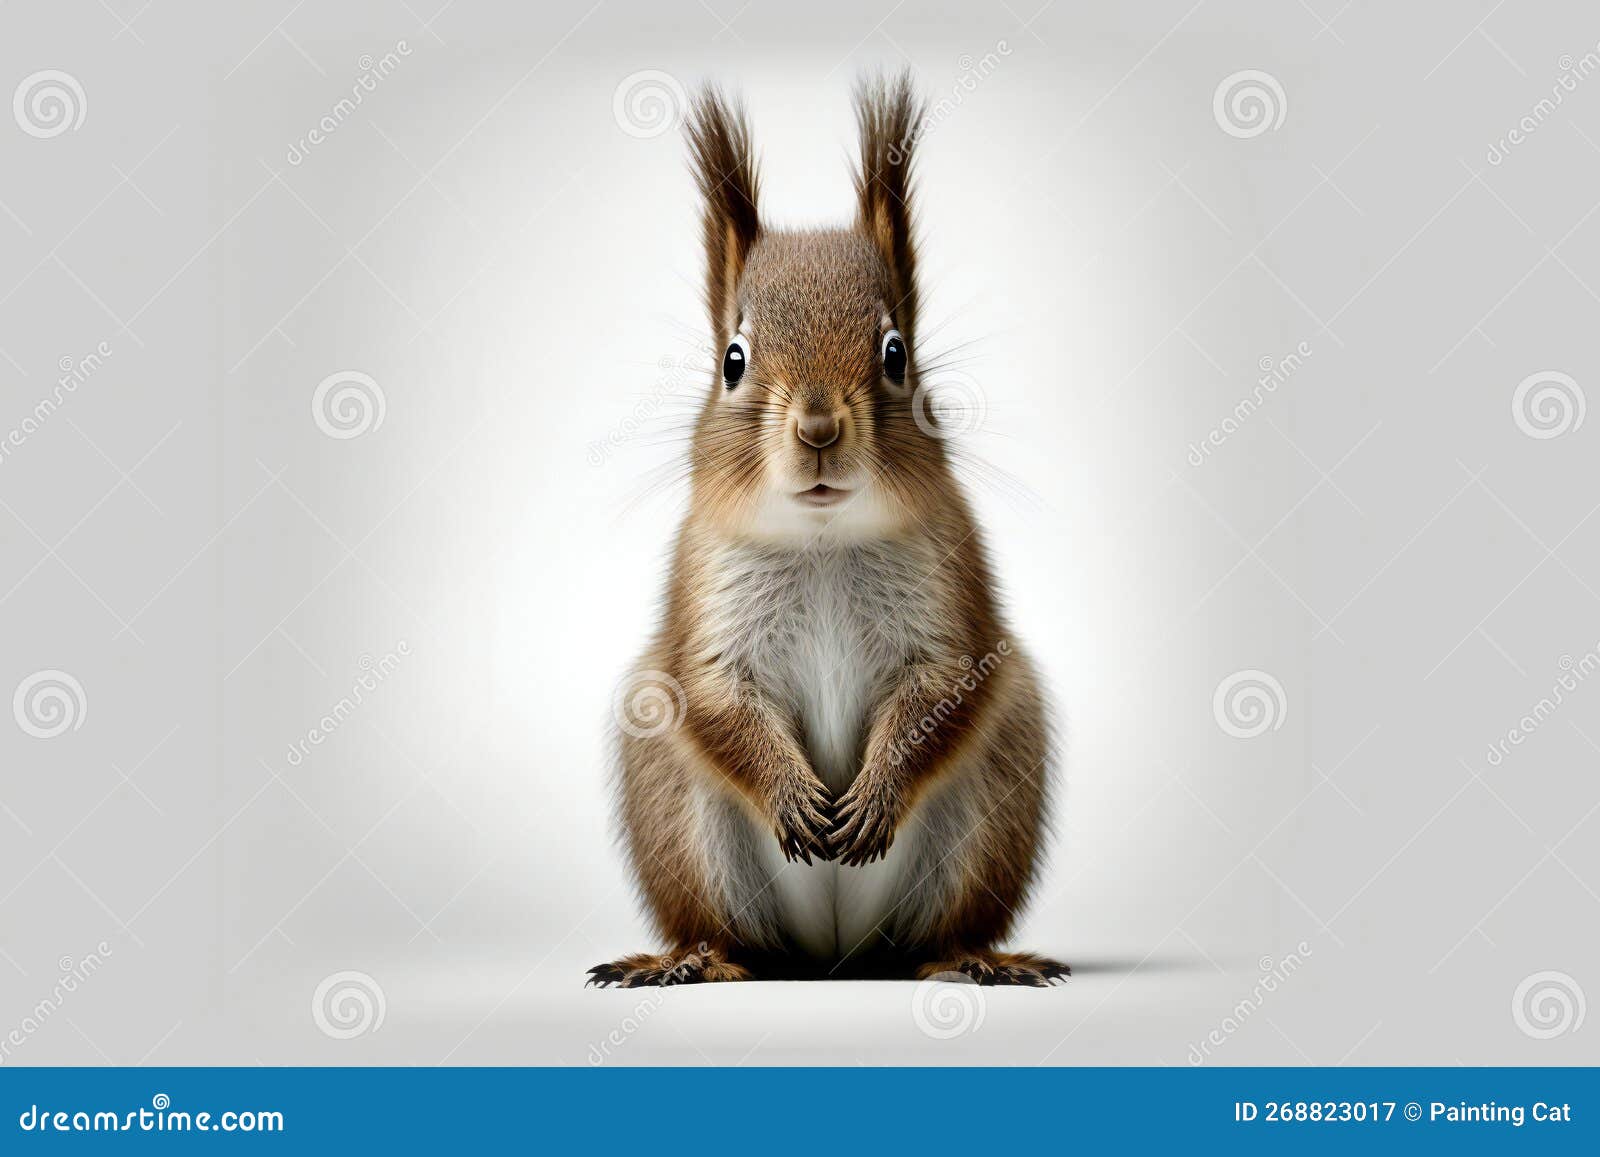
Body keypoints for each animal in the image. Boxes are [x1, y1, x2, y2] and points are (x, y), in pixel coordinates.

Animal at [590, 75, 1064, 988]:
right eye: (733, 361)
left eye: (896, 353)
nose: (816, 428)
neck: (823, 544)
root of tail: (835, 957)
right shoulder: (707, 603)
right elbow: (717, 703)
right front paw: (788, 790)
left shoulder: (950, 603)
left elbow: (940, 692)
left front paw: (875, 792)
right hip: (675, 815)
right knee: (724, 930)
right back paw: (692, 960)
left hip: (994, 806)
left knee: (943, 930)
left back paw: (976, 957)